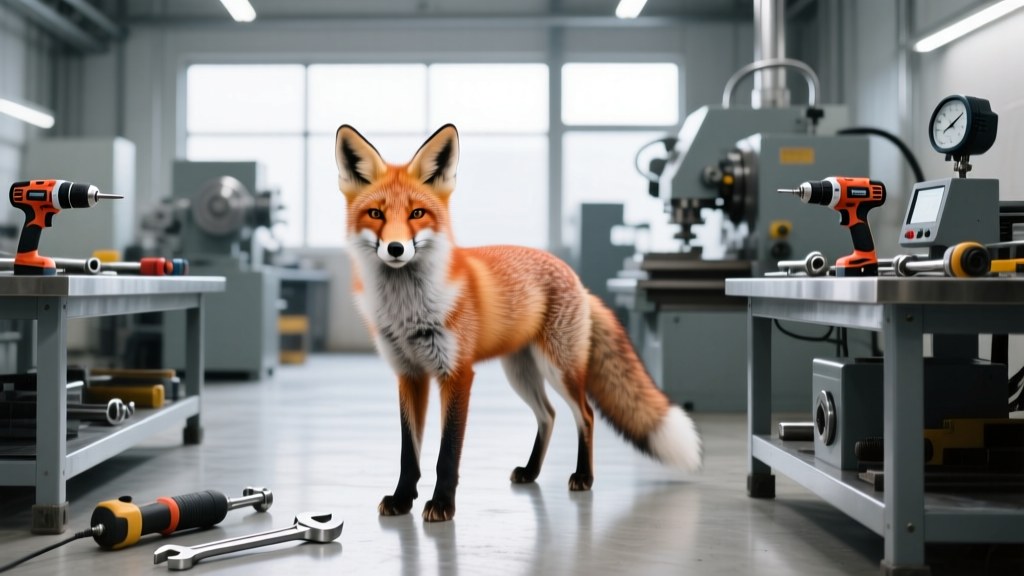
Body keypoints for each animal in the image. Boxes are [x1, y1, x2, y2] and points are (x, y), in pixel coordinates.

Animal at [335, 123, 702, 522]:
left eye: (417, 213)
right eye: (375, 214)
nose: (396, 249)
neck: (408, 310)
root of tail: (576, 278)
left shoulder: (457, 373)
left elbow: (447, 452)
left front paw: (443, 504)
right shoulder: (409, 374)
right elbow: (408, 453)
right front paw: (403, 499)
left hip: (560, 369)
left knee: (585, 414)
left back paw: (584, 477)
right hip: (520, 373)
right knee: (549, 415)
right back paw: (531, 471)